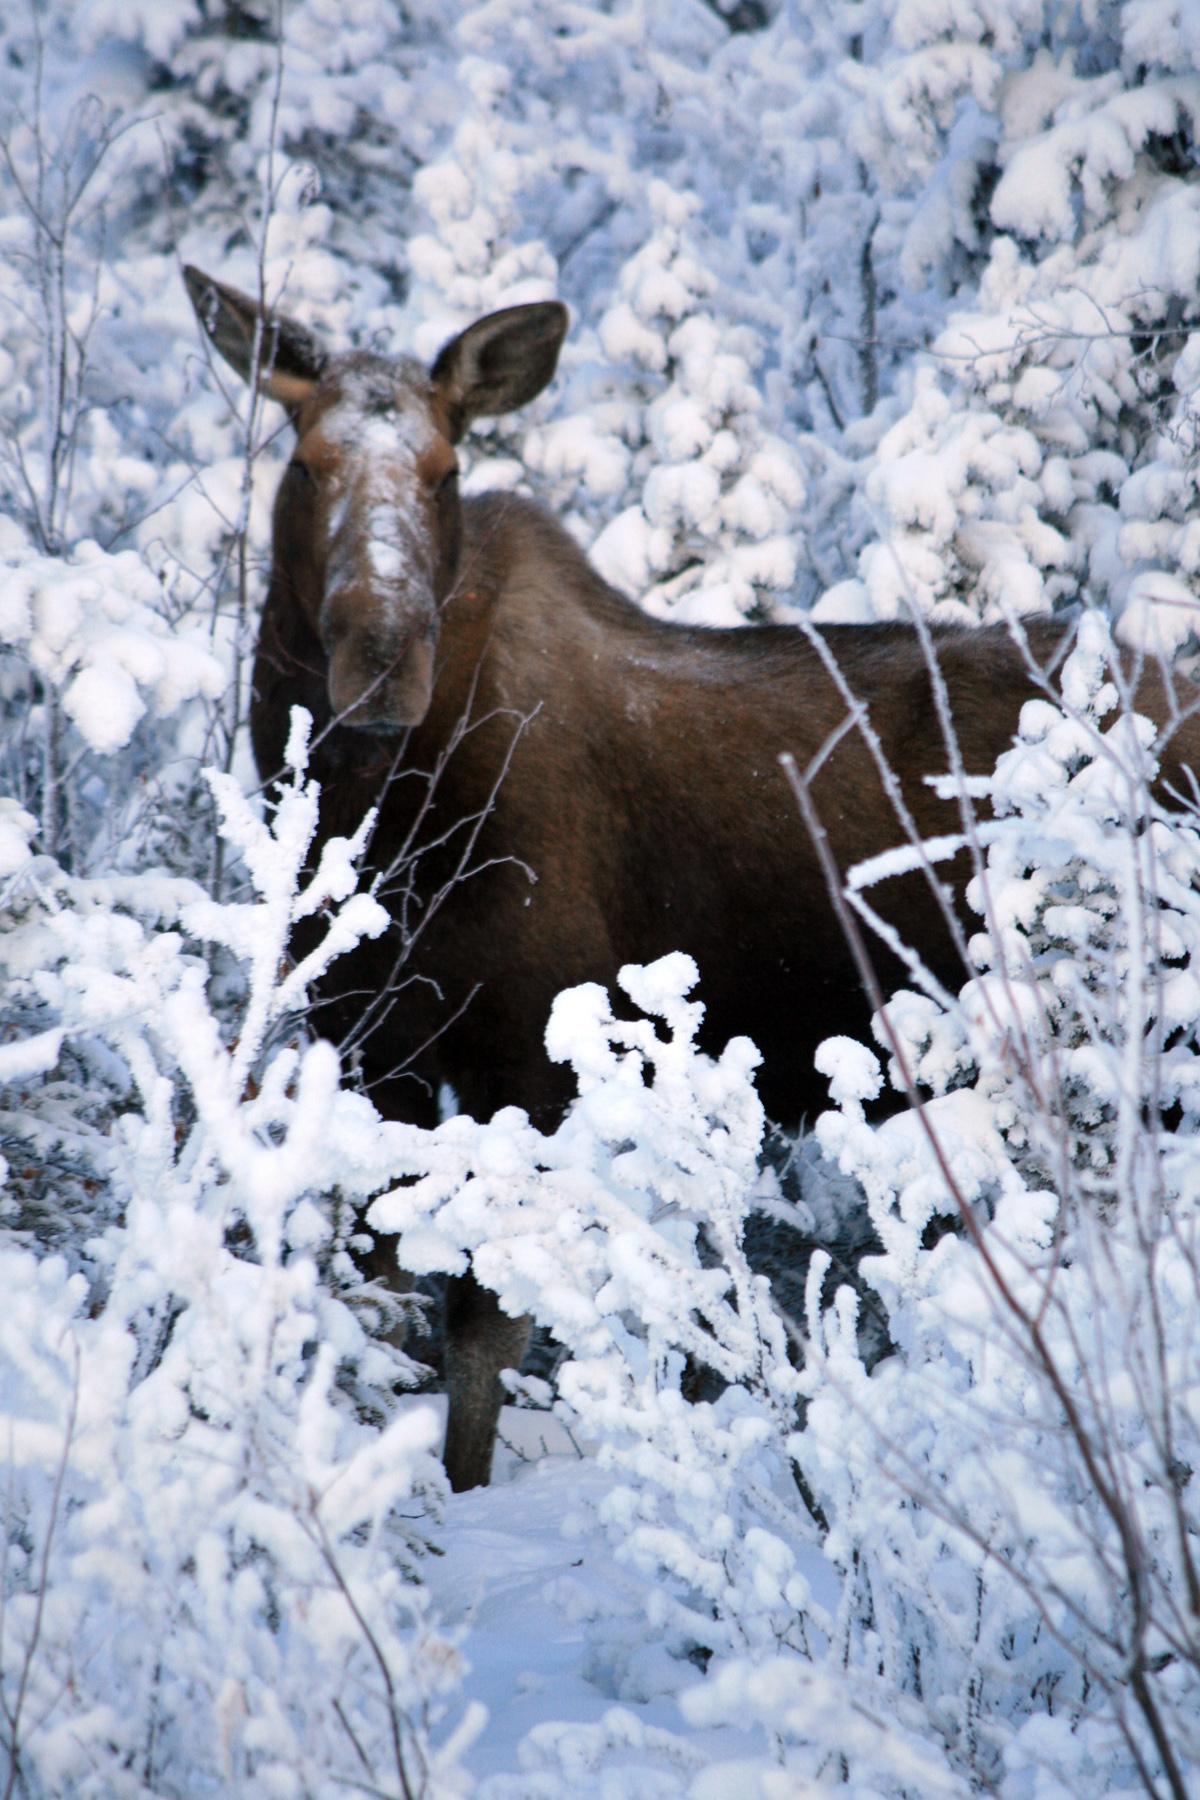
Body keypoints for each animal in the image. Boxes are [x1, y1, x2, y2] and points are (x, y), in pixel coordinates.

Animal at [184, 266, 1197, 1491]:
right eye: (305, 462)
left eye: (445, 470)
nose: (382, 659)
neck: (377, 808)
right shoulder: (375, 1047)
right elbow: (383, 1288)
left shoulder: (529, 1058)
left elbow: (481, 1329)